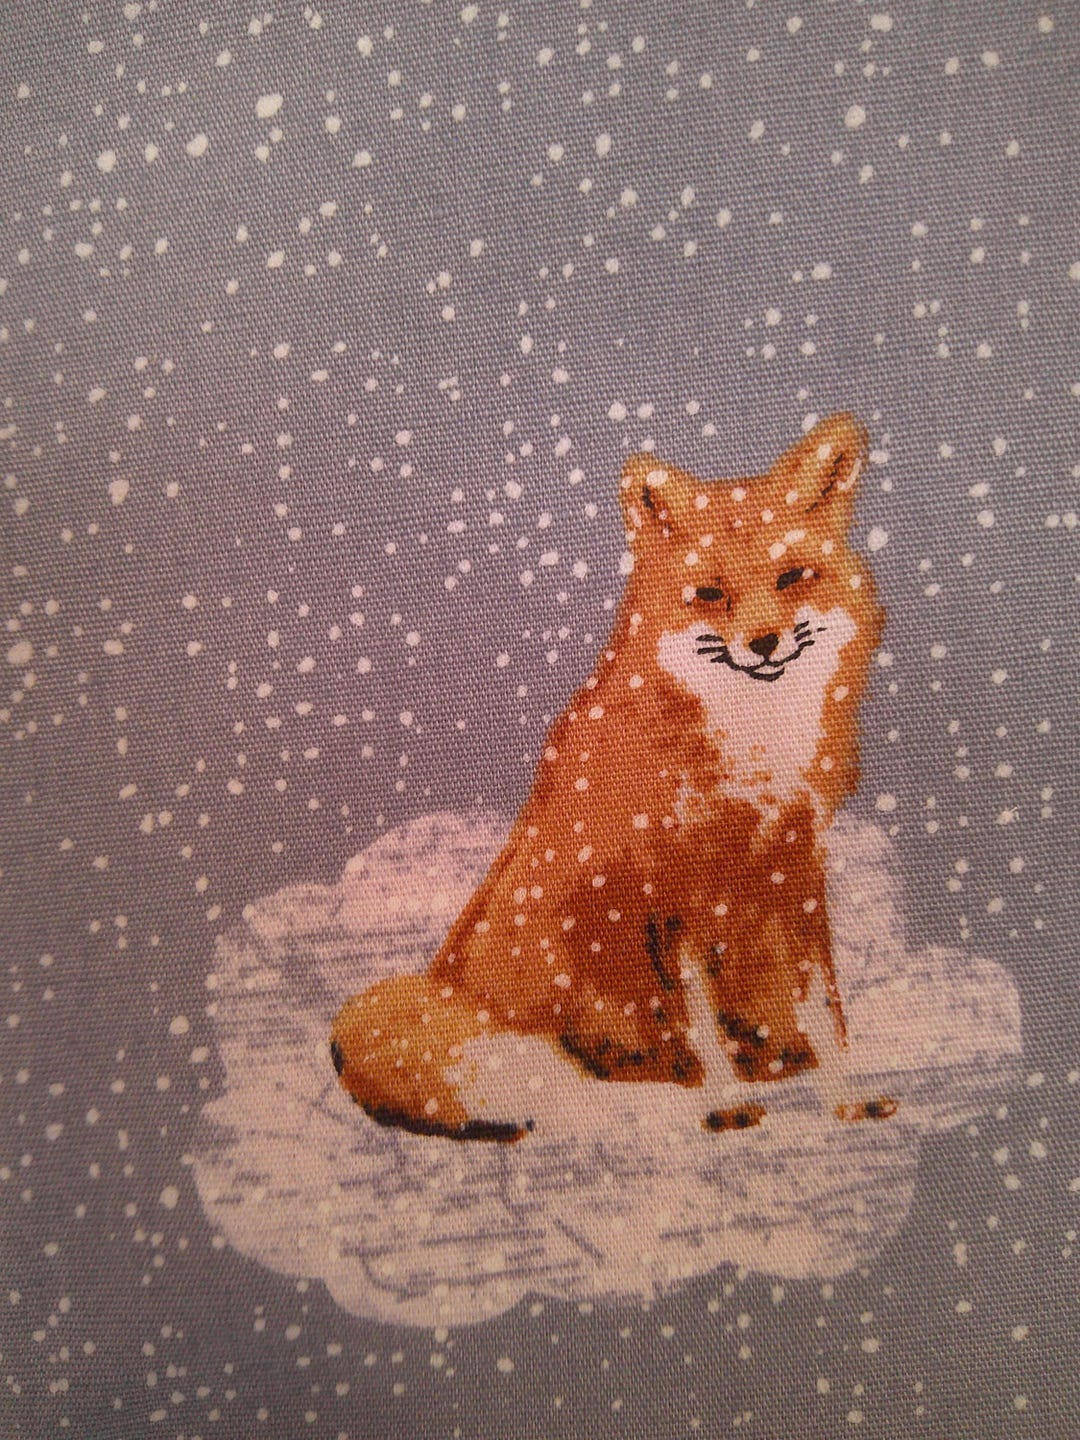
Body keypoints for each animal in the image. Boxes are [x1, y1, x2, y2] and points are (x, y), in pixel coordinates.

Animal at [330, 413, 897, 1141]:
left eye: (793, 576)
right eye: (710, 594)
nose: (764, 643)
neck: (752, 747)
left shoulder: (794, 875)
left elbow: (828, 1013)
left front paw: (846, 1098)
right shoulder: (660, 890)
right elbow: (694, 1025)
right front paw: (722, 1106)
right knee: (585, 1092)